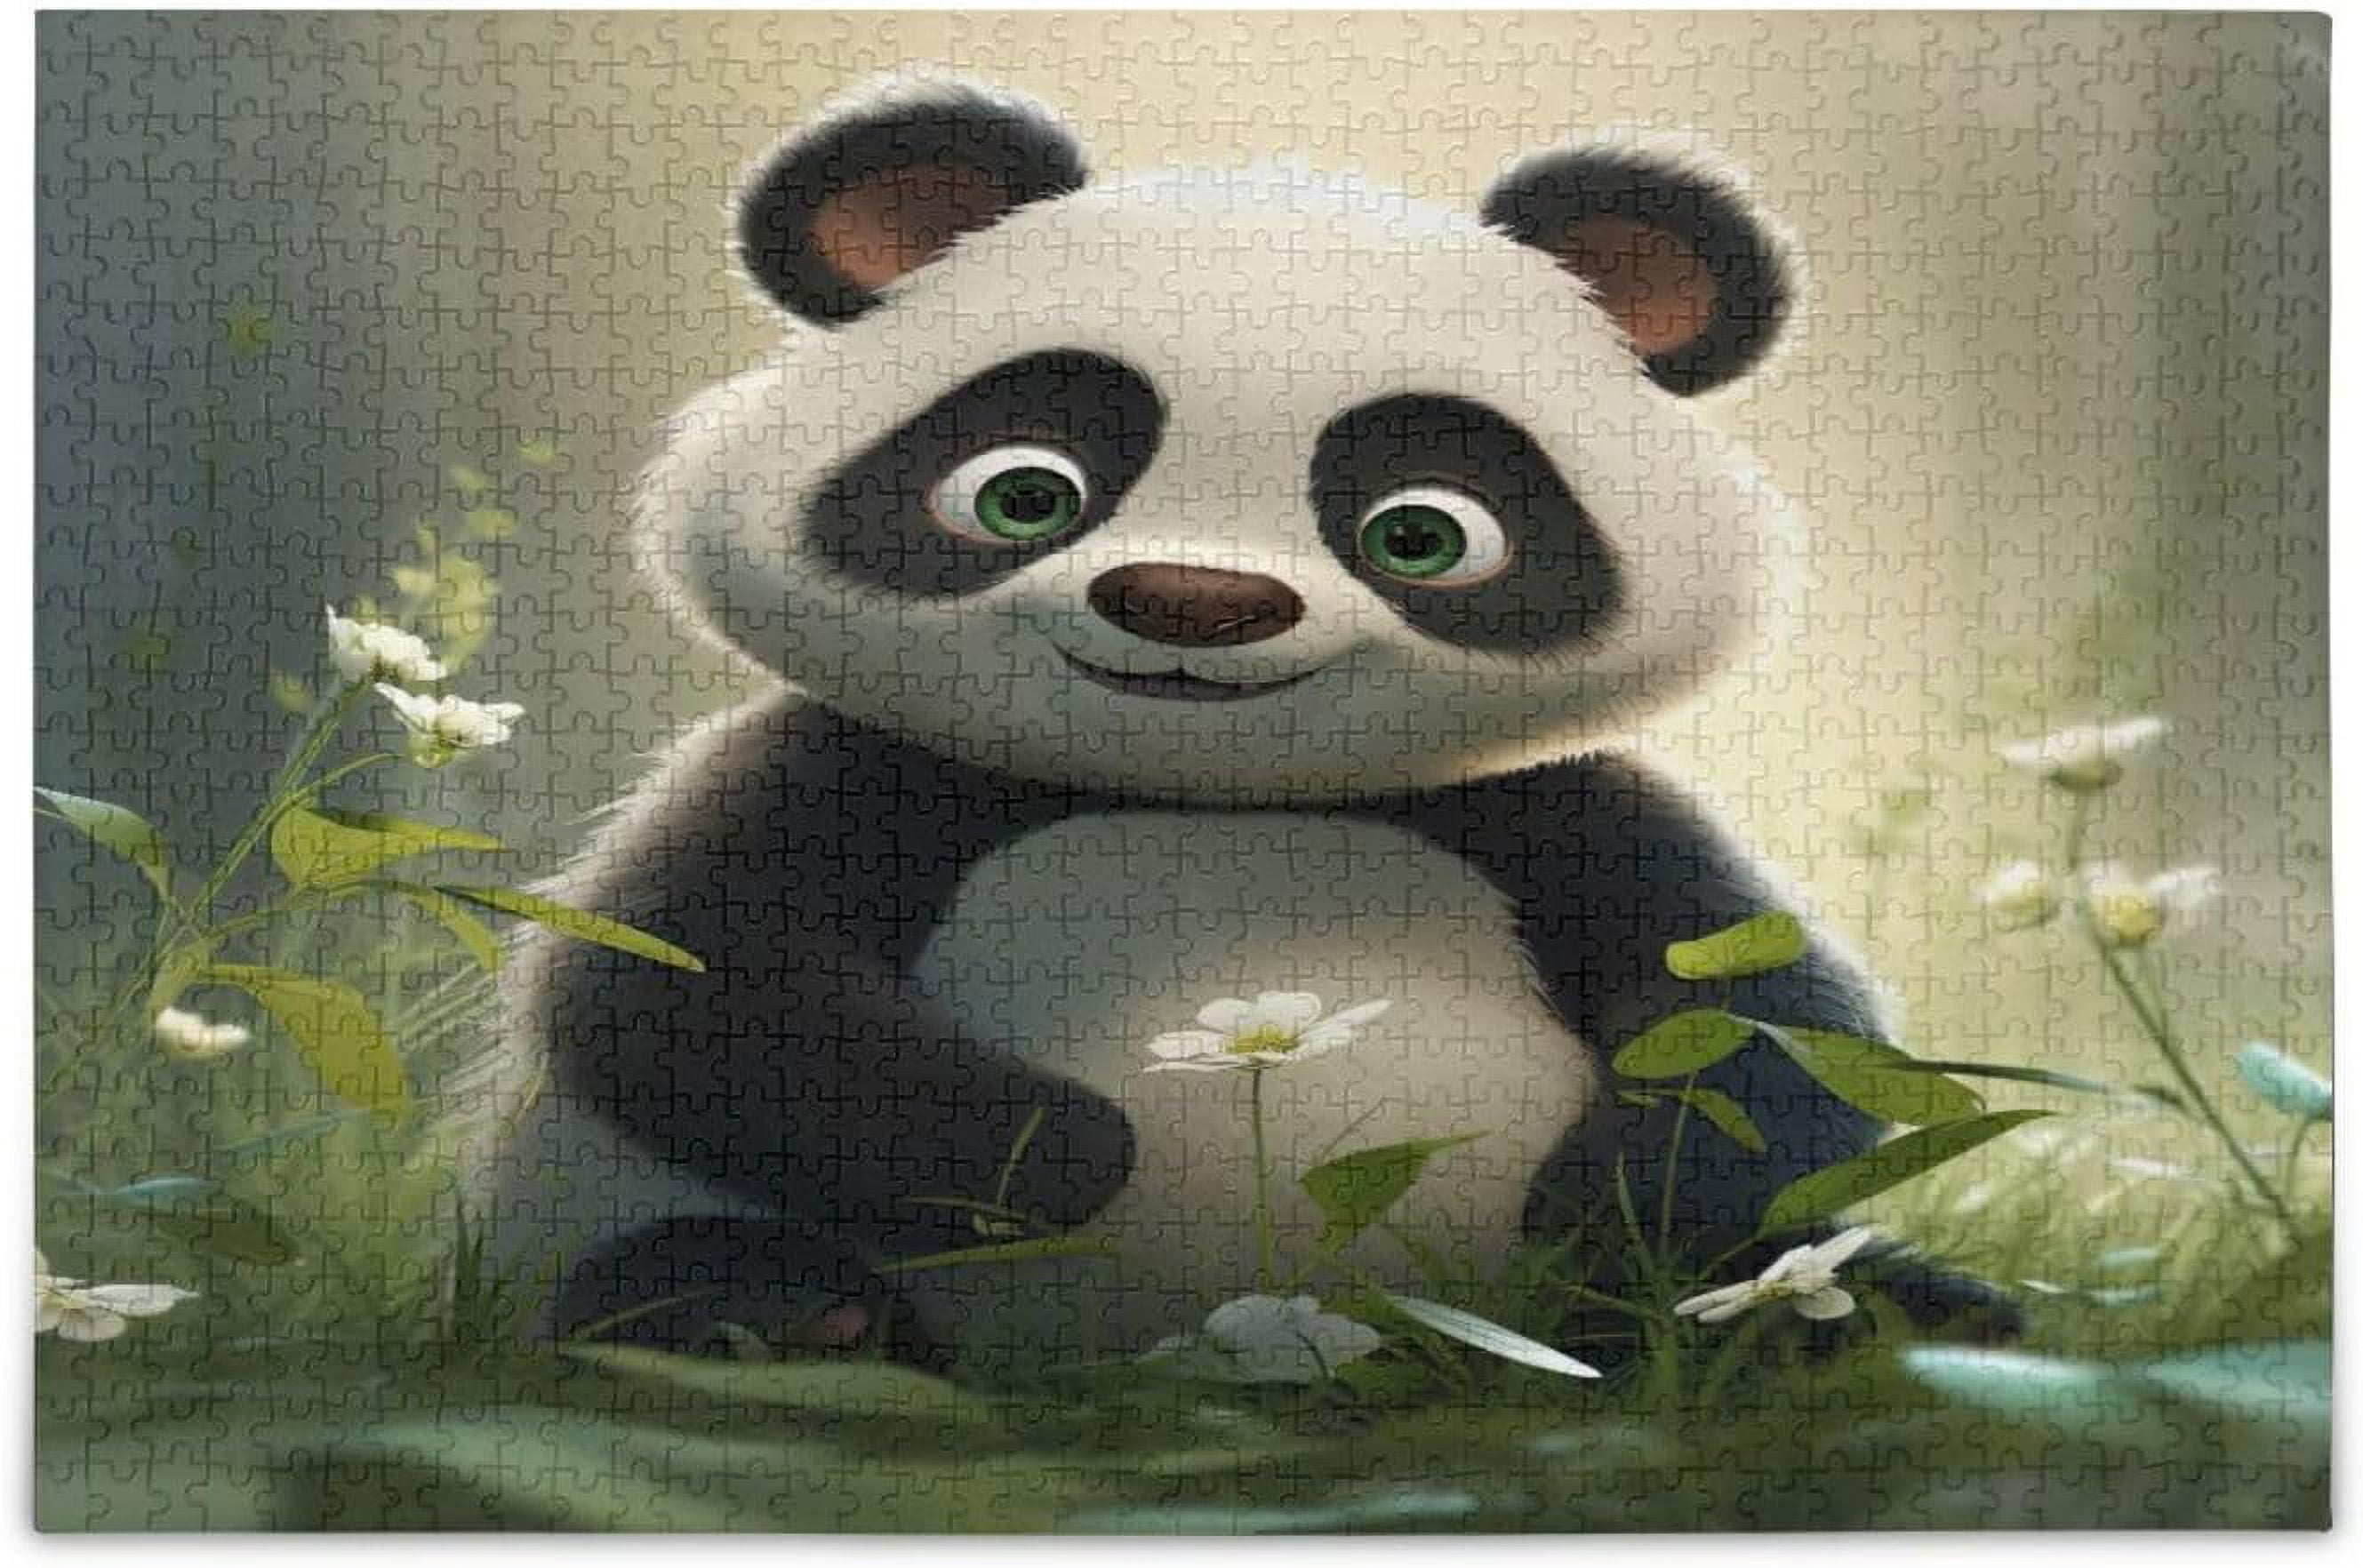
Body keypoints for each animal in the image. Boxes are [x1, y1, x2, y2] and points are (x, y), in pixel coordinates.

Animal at [458, 74, 2008, 1369]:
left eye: (1422, 533)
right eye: (1021, 492)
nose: (1194, 600)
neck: (1207, 799)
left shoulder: (1555, 806)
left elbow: (1757, 1008)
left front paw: (1612, 1194)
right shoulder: (853, 771)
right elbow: (686, 984)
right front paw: (1068, 1151)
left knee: (1782, 1293)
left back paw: (1851, 1325)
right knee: (666, 1289)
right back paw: (775, 1318)